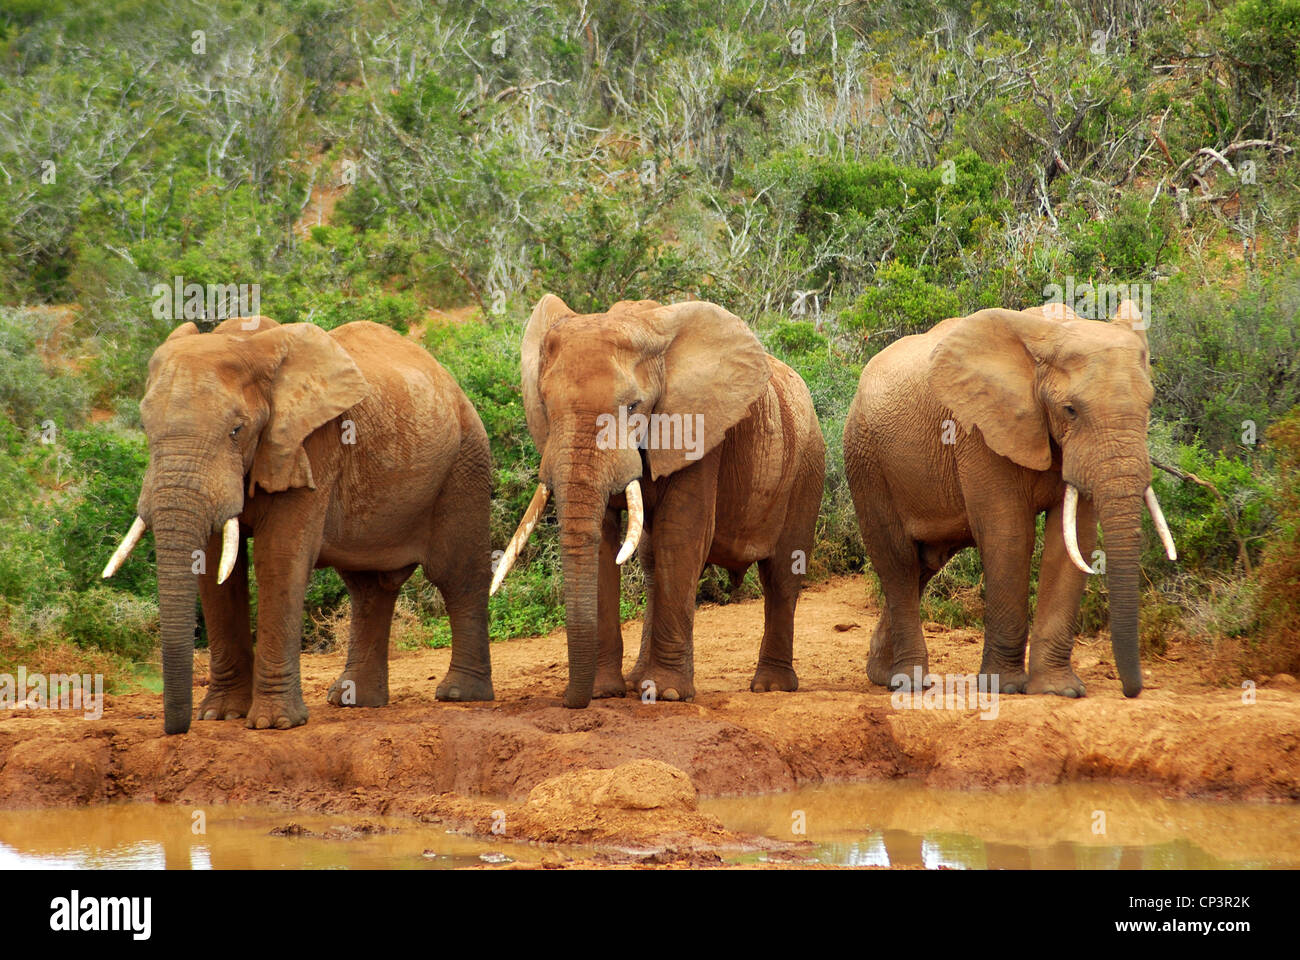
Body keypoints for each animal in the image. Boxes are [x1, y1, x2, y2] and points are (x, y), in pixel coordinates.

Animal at [102, 315, 494, 733]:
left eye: (237, 430)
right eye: (145, 429)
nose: (177, 728)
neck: (245, 343)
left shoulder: (311, 443)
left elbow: (278, 558)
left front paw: (272, 724)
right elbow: (213, 567)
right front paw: (221, 715)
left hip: (466, 460)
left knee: (457, 575)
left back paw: (459, 694)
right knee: (369, 588)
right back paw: (353, 701)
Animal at [492, 295, 826, 707]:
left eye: (633, 407)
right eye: (544, 404)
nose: (571, 700)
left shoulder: (698, 428)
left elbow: (680, 534)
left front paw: (667, 694)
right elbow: (605, 543)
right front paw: (605, 692)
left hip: (807, 464)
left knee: (782, 572)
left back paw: (770, 687)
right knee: (653, 565)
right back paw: (640, 682)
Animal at [842, 299, 1177, 699]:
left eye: (1150, 404)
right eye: (1070, 410)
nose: (1132, 690)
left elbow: (1073, 541)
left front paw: (1058, 690)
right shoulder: (979, 431)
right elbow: (1010, 535)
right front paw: (1006, 687)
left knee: (924, 565)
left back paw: (881, 674)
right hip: (867, 459)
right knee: (898, 564)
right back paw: (909, 682)